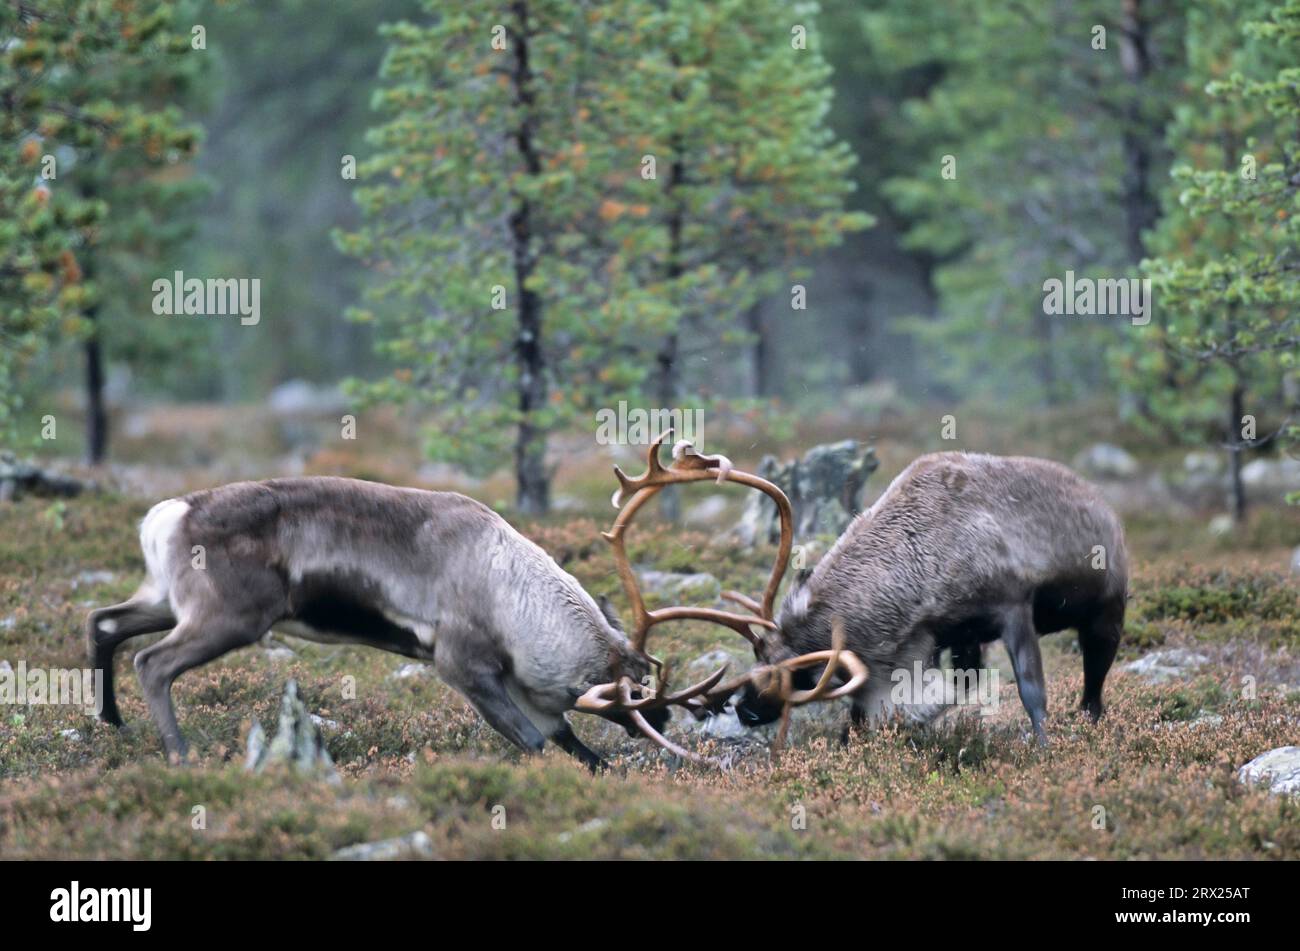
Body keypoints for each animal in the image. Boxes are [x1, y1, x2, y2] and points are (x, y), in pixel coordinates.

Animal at [85, 443, 863, 770]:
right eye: (637, 700)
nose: (669, 723)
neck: (512, 594)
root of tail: (168, 513)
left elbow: (566, 739)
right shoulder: (462, 664)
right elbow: (538, 740)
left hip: (169, 599)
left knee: (104, 620)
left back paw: (110, 722)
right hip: (229, 616)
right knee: (153, 662)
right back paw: (180, 754)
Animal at [729, 450, 1130, 743]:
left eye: (804, 676)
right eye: (759, 656)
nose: (744, 709)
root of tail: (1106, 507)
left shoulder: (1014, 605)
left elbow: (1032, 692)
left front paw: (1043, 747)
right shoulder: (949, 633)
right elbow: (948, 688)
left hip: (1107, 612)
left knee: (1094, 688)